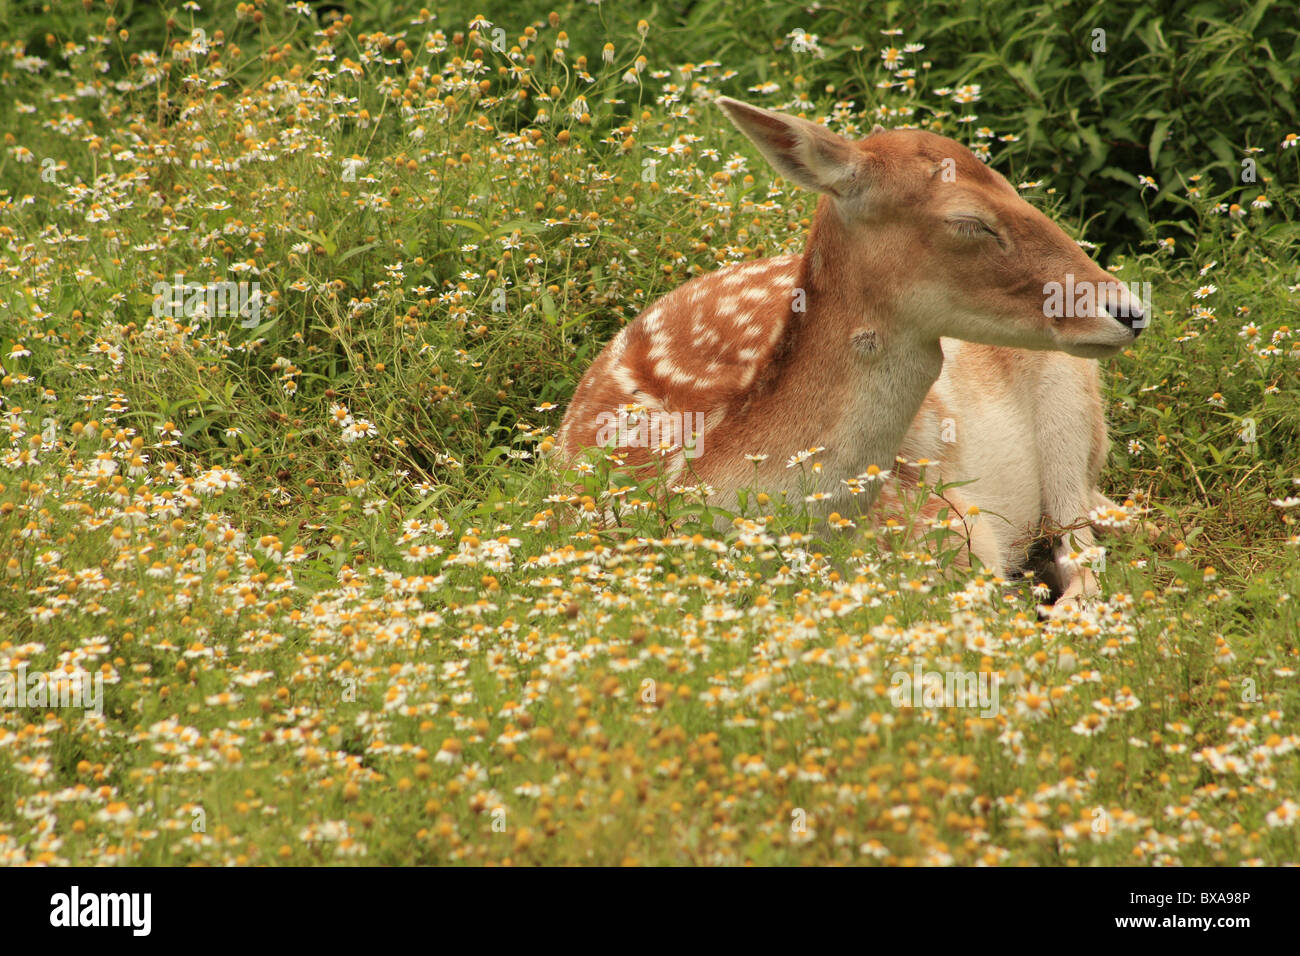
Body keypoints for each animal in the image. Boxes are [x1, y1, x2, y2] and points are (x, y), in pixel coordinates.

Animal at [555, 97, 1145, 609]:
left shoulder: (952, 529)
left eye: (1013, 186)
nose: (1129, 308)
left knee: (1086, 552)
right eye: (968, 220)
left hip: (1070, 406)